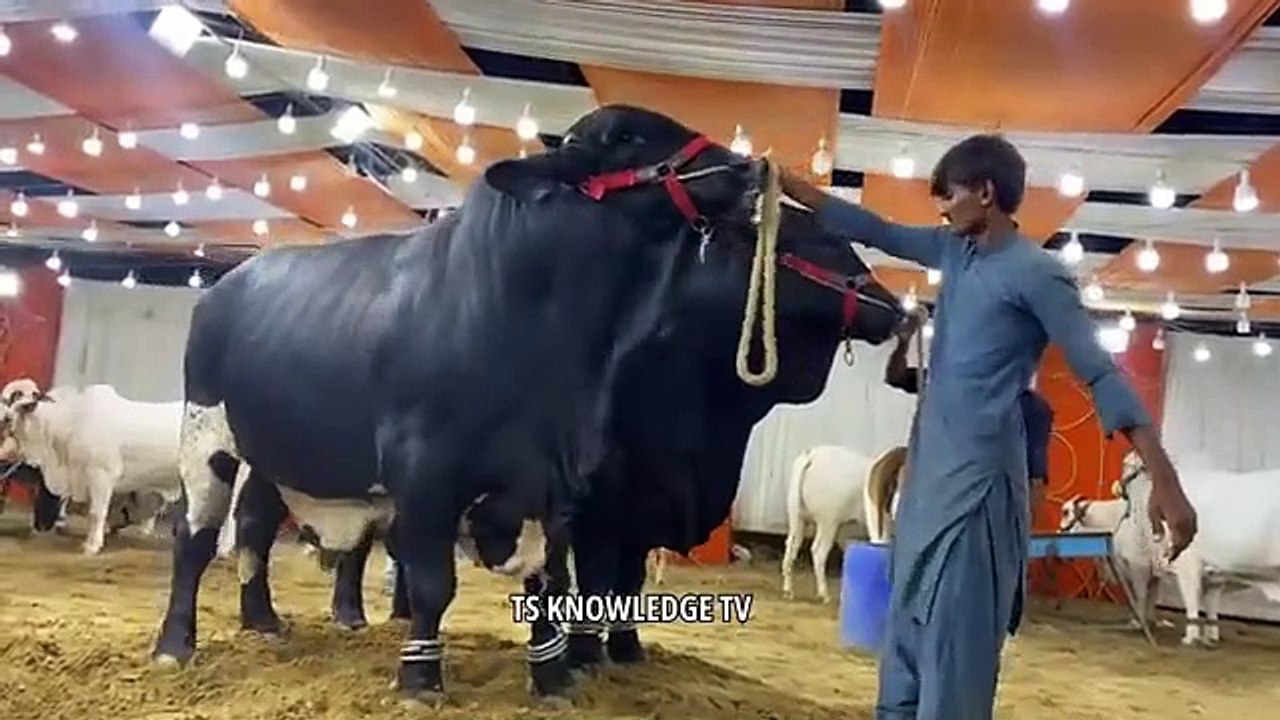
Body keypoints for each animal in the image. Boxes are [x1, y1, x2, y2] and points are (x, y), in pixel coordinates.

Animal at [149, 105, 768, 705]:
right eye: (625, 137)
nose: (747, 168)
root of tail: (227, 282)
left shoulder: (557, 486)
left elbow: (549, 583)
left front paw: (552, 680)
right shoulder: (426, 473)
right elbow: (431, 584)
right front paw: (420, 680)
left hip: (271, 454)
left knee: (253, 525)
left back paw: (263, 622)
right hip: (205, 436)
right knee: (195, 538)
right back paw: (174, 646)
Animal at [780, 445, 876, 604]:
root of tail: (811, 456)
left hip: (797, 515)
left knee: (792, 545)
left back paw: (788, 590)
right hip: (828, 521)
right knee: (818, 551)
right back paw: (824, 594)